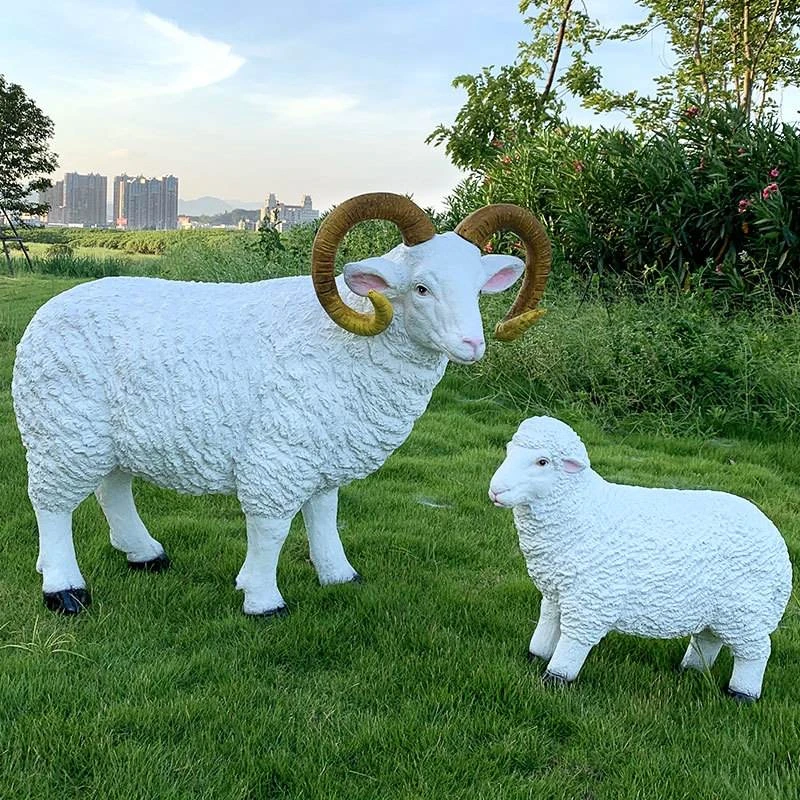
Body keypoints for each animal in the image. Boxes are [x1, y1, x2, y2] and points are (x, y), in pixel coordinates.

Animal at [13, 193, 551, 616]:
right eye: (421, 288)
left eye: (477, 289)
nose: (472, 345)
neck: (347, 347)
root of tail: (42, 318)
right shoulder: (279, 454)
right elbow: (271, 529)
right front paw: (262, 599)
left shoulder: (322, 453)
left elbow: (324, 515)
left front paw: (339, 576)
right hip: (63, 429)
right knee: (51, 504)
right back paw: (64, 590)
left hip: (106, 437)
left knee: (112, 490)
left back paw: (144, 554)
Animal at [488, 416, 793, 701]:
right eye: (509, 450)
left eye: (542, 462)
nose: (495, 490)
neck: (583, 511)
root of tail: (779, 549)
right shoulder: (555, 593)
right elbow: (547, 626)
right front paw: (535, 656)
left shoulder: (590, 599)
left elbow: (573, 641)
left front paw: (556, 678)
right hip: (720, 610)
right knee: (708, 638)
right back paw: (690, 669)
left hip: (745, 609)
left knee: (756, 652)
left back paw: (742, 694)